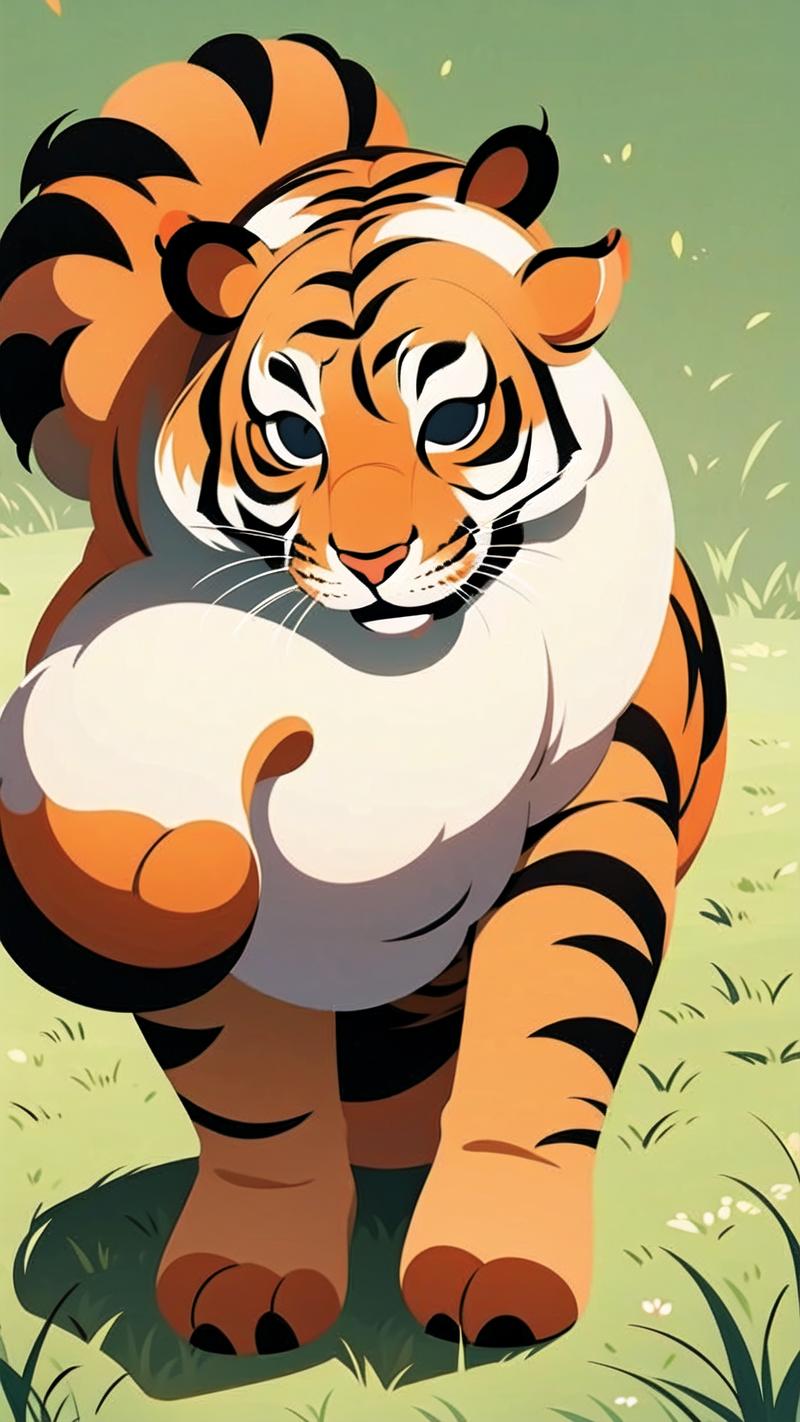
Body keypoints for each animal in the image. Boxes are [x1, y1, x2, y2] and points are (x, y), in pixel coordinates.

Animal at [0, 33, 726, 1356]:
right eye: (293, 436)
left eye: (453, 416)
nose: (374, 558)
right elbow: (256, 1099)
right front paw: (248, 1282)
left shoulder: (589, 816)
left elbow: (541, 1026)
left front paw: (496, 1268)